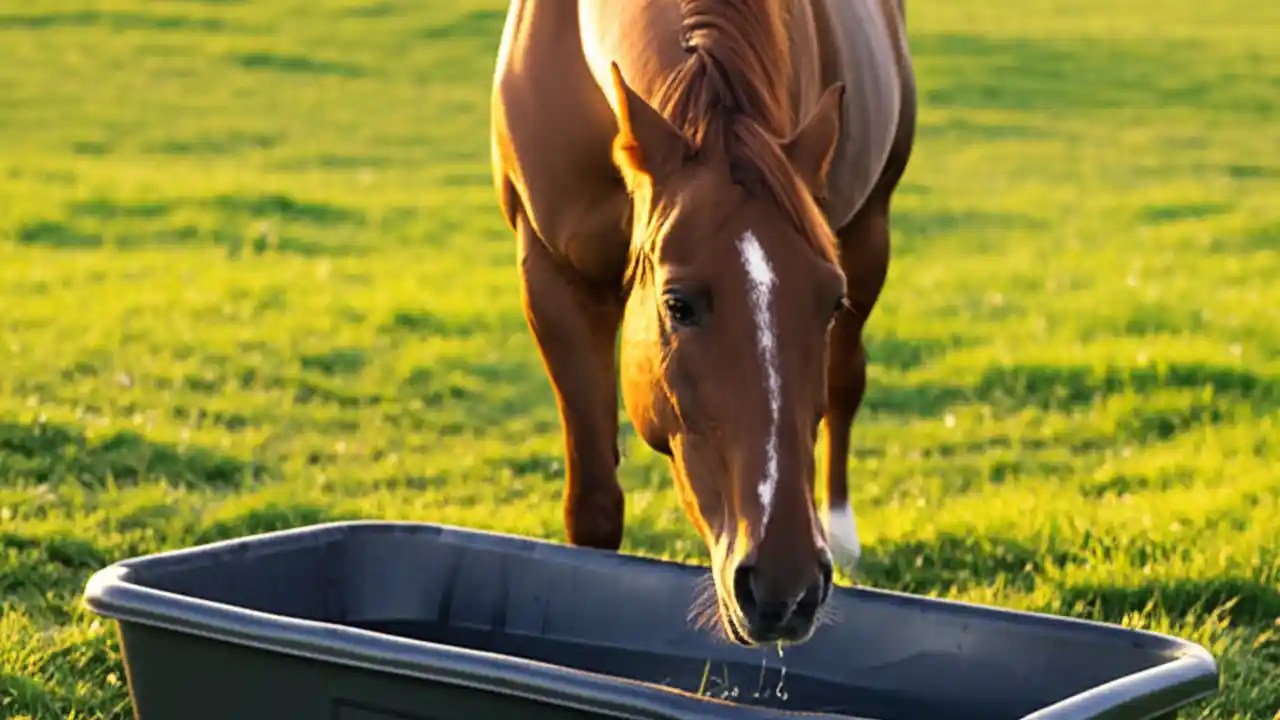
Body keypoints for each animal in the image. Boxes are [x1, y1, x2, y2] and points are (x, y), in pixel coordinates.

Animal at [489, 0, 915, 646]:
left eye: (830, 302)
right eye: (678, 304)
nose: (785, 588)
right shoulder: (551, 276)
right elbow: (593, 505)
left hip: (872, 228)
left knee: (846, 381)